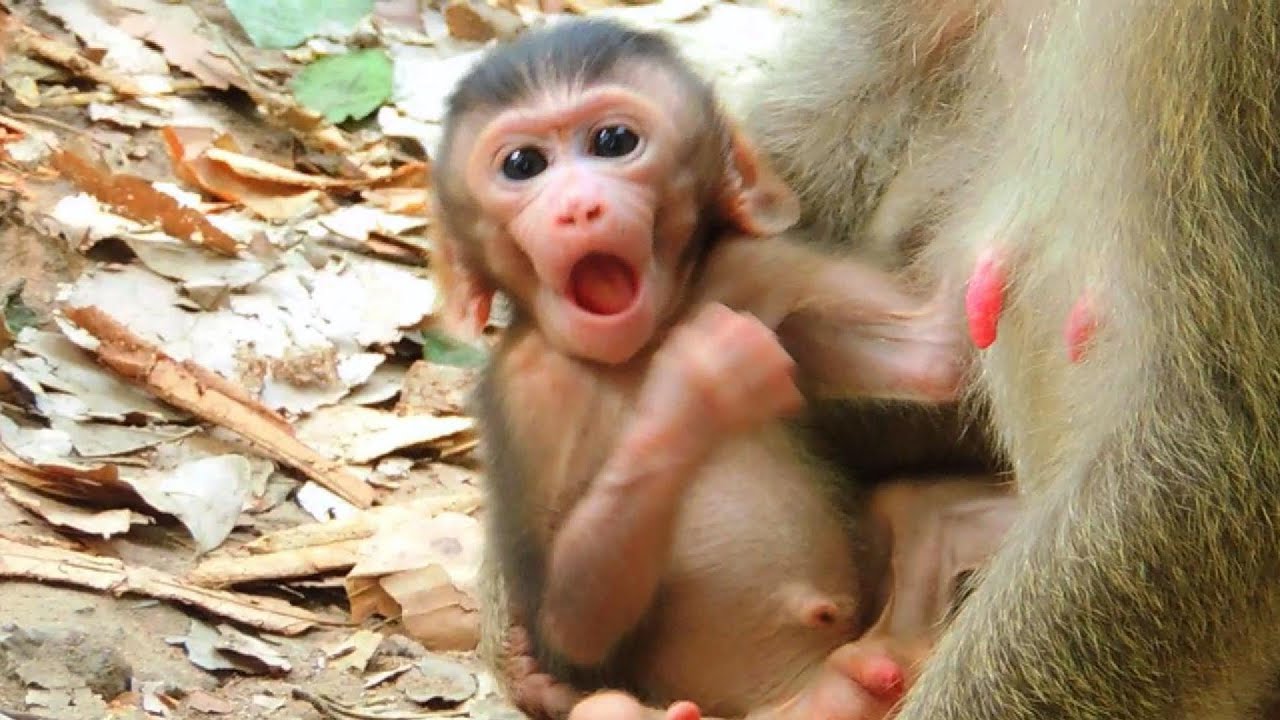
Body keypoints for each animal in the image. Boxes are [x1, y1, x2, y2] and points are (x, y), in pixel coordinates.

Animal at [428, 16, 991, 720]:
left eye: (613, 142)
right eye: (522, 165)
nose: (578, 207)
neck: (644, 344)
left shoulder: (758, 266)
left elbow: (937, 358)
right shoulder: (528, 389)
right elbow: (570, 625)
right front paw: (700, 381)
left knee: (927, 517)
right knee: (605, 705)